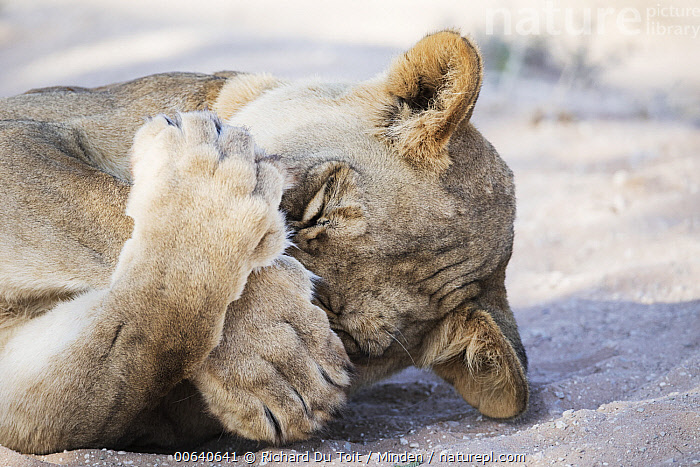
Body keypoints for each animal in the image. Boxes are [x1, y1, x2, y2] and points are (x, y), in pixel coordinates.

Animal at [0, 31, 528, 454]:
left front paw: (276, 361)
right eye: (315, 208)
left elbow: (159, 322)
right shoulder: (18, 136)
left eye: (344, 335)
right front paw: (274, 349)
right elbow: (101, 204)